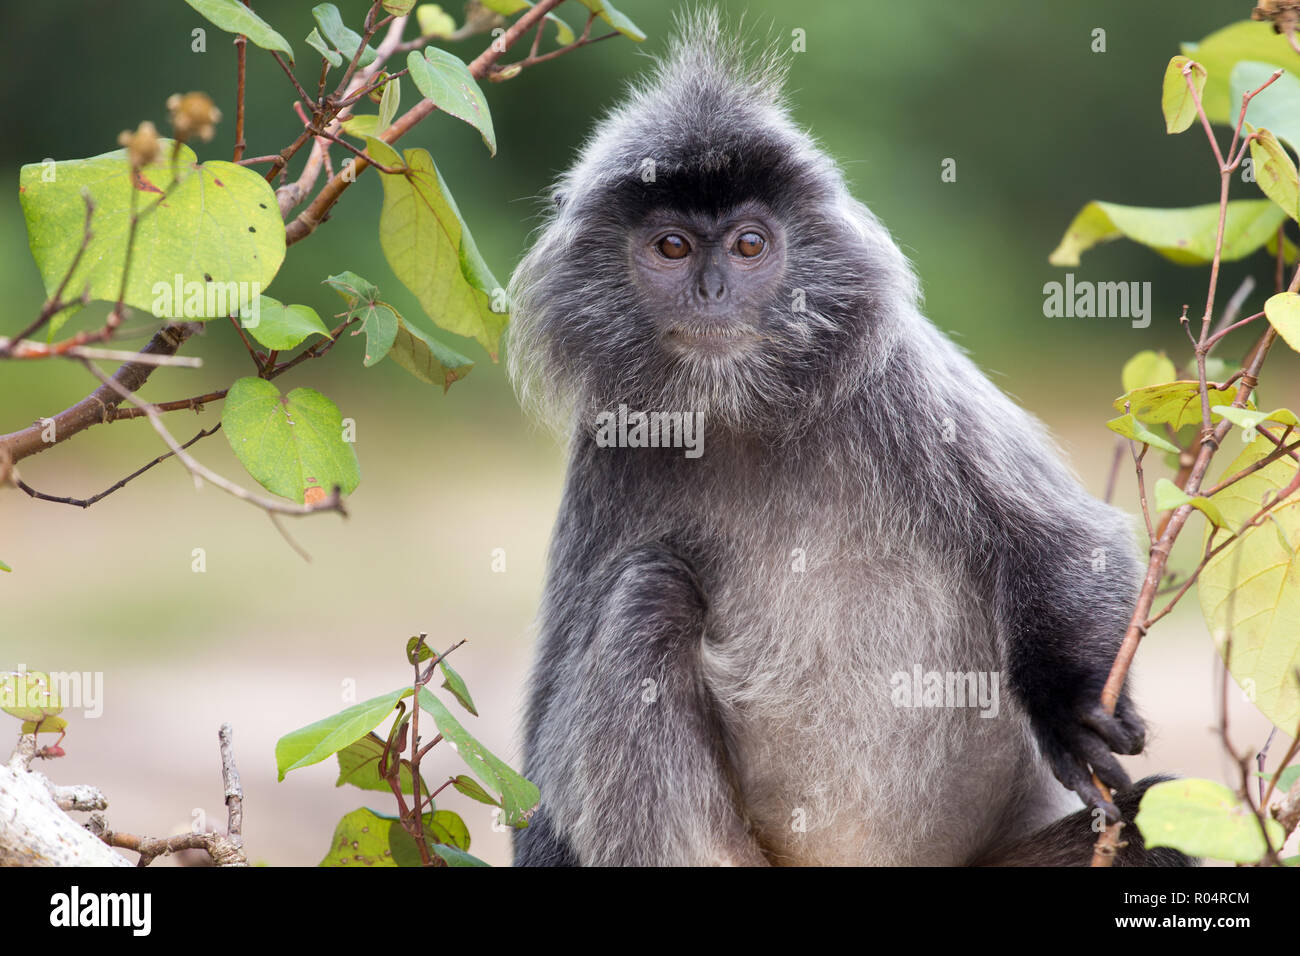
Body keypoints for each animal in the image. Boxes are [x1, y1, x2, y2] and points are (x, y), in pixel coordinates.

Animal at [505, 11, 1192, 867]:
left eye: (748, 246)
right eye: (671, 248)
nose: (711, 291)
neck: (740, 414)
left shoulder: (897, 381)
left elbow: (1064, 542)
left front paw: (1068, 716)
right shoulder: (611, 444)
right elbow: (543, 756)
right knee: (648, 591)